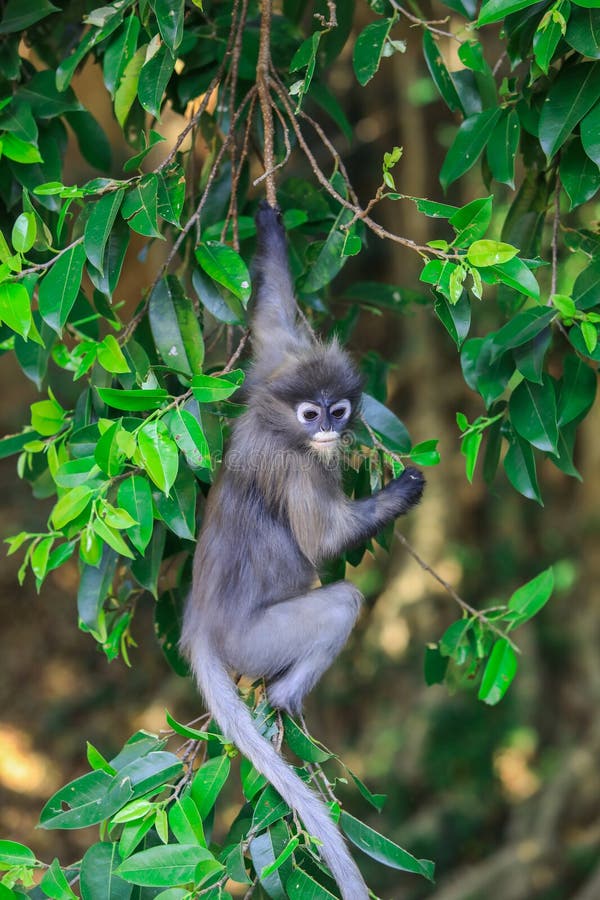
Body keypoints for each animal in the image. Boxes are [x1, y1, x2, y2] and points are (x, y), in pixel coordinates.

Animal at [180, 202, 425, 900]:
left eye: (337, 411)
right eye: (312, 415)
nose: (329, 433)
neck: (281, 422)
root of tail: (200, 628)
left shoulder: (275, 368)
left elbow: (272, 322)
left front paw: (269, 223)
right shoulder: (298, 466)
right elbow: (327, 539)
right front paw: (406, 487)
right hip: (258, 640)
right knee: (342, 600)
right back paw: (285, 700)